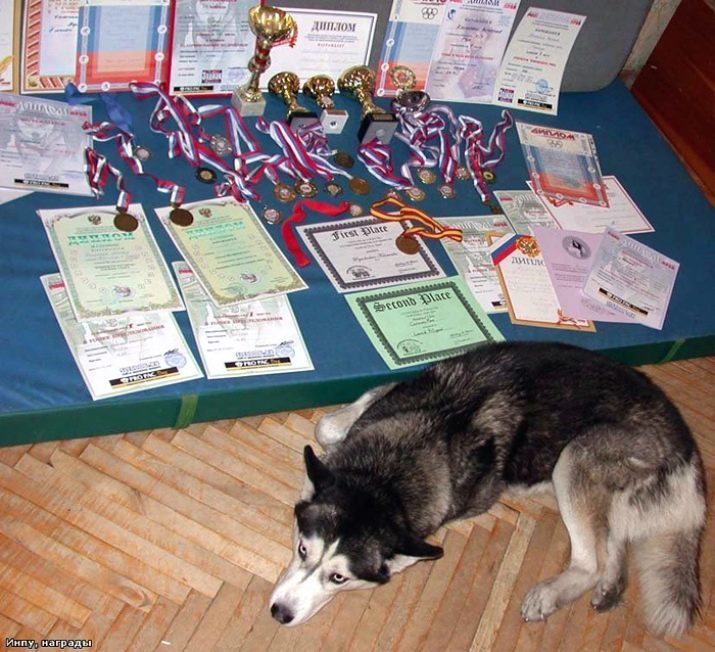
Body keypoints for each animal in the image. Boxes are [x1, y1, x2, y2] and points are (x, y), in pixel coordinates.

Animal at [270, 342, 712, 636]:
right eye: (302, 549)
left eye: (339, 578)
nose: (279, 613)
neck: (386, 478)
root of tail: (687, 447)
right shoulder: (388, 396)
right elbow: (326, 427)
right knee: (612, 540)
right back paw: (610, 586)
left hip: (575, 457)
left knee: (592, 561)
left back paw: (555, 592)